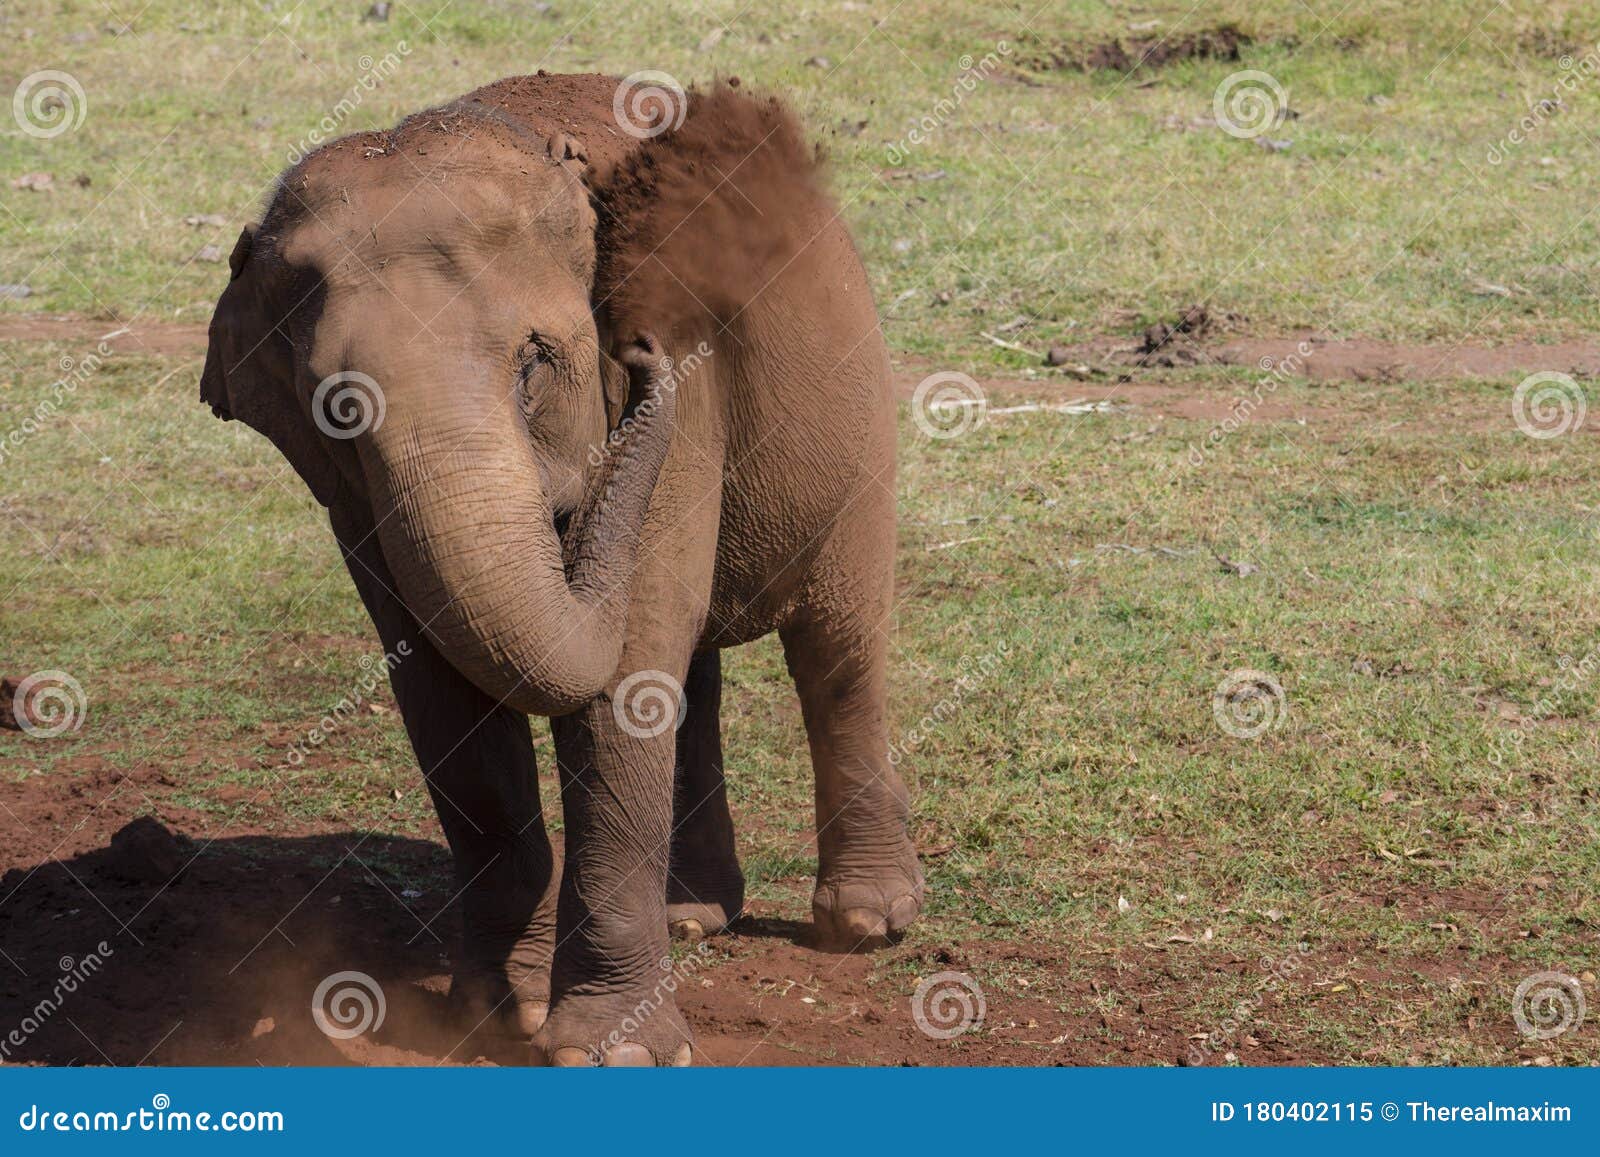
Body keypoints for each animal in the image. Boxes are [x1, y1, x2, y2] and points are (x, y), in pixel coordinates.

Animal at [199, 73, 922, 1065]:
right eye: (336, 407)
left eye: (535, 363)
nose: (645, 356)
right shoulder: (354, 501)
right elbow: (440, 685)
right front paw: (497, 1012)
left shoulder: (691, 402)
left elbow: (625, 670)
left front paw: (612, 1050)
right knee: (695, 673)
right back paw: (692, 914)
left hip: (859, 418)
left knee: (837, 652)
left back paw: (865, 922)